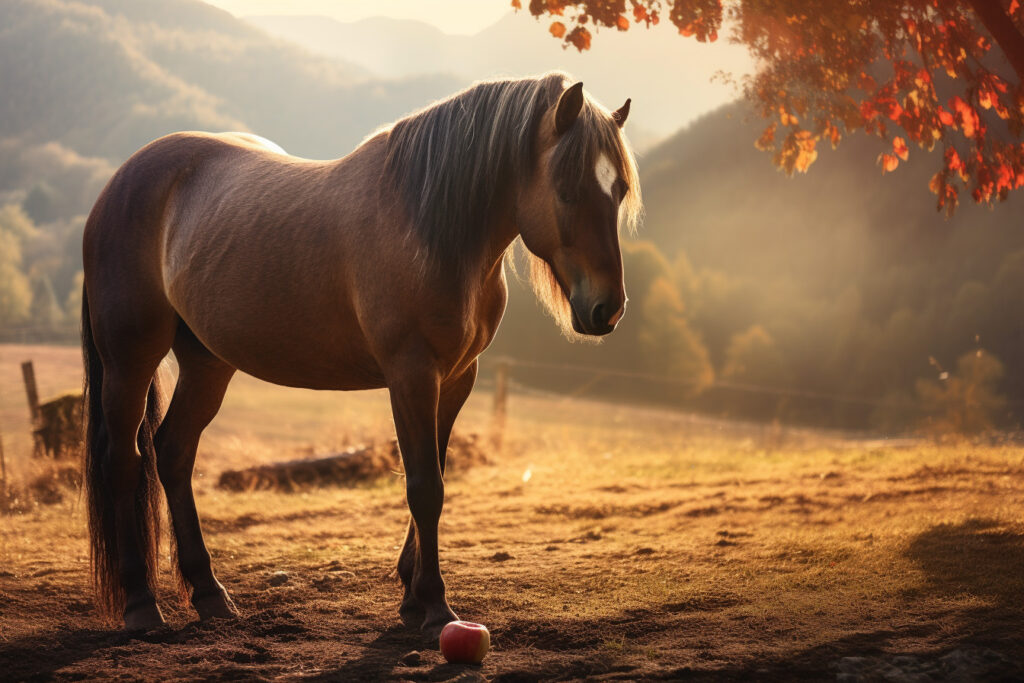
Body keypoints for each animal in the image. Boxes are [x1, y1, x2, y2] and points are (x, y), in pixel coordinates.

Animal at [81, 71, 642, 637]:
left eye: (618, 189)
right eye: (566, 190)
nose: (607, 309)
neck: (429, 231)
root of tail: (120, 181)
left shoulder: (456, 378)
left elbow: (435, 475)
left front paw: (412, 597)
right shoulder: (411, 374)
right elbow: (425, 487)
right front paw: (435, 606)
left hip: (207, 362)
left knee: (173, 451)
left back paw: (210, 594)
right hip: (130, 359)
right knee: (123, 461)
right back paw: (141, 604)